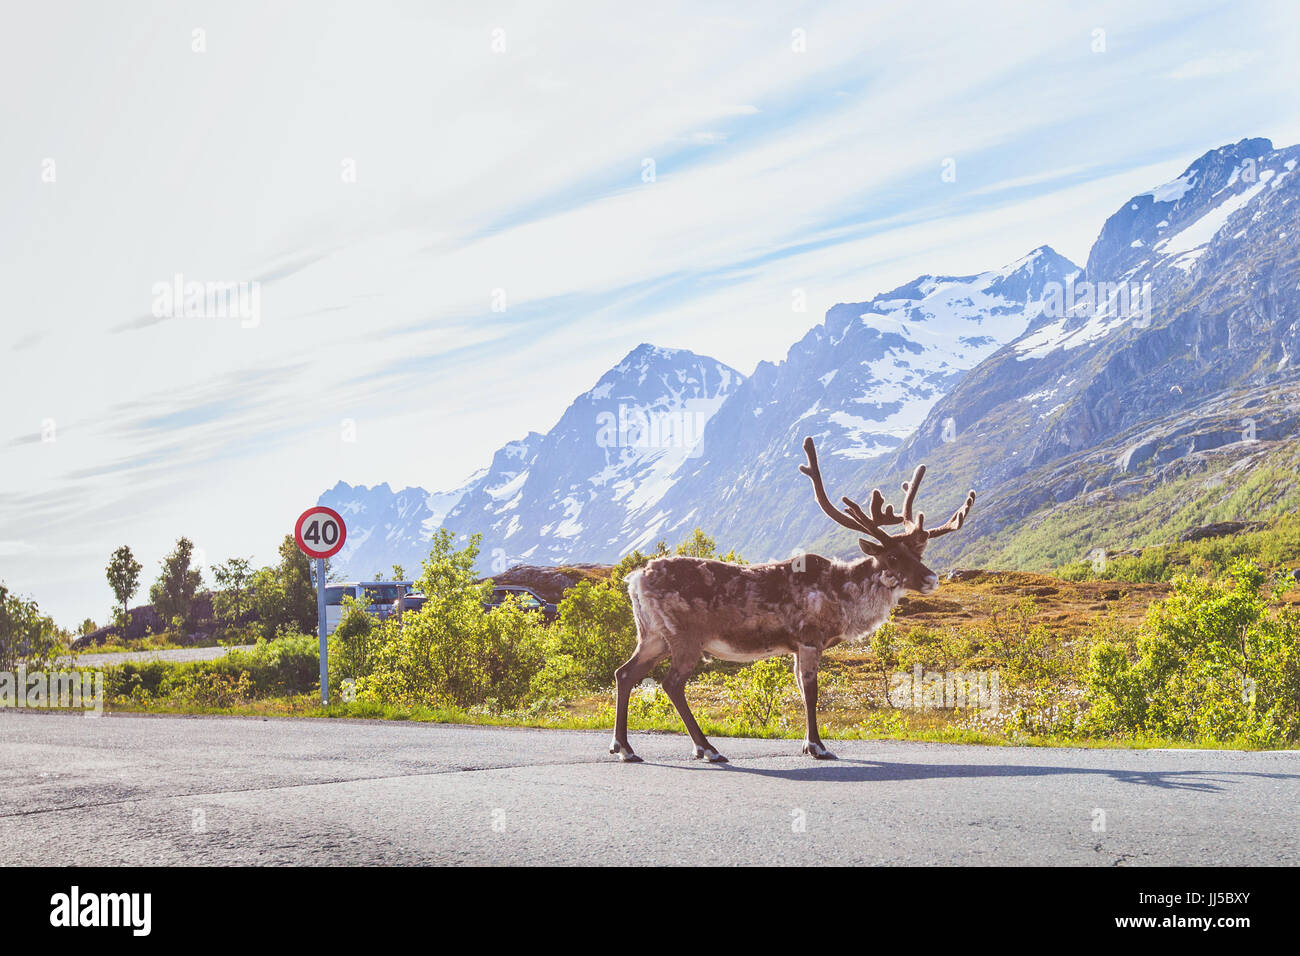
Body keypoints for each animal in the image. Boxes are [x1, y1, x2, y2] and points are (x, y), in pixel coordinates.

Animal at [609, 436, 975, 763]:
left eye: (918, 553)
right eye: (893, 557)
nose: (931, 578)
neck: (843, 599)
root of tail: (635, 578)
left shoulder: (797, 647)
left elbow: (801, 690)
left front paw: (809, 743)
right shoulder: (809, 638)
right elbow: (811, 693)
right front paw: (817, 746)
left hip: (652, 635)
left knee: (624, 673)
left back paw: (625, 748)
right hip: (684, 636)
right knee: (670, 683)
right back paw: (707, 749)